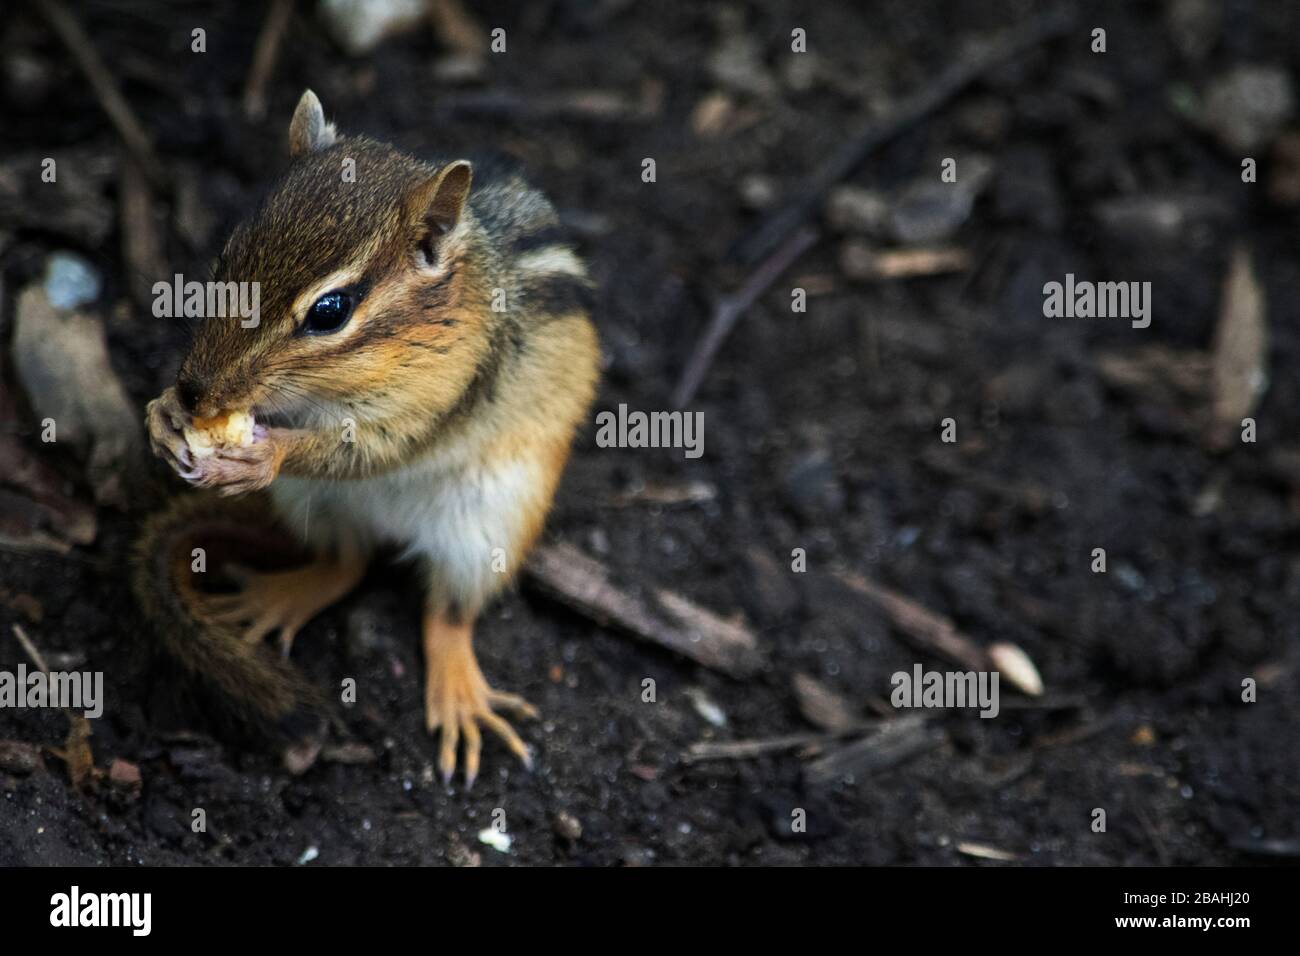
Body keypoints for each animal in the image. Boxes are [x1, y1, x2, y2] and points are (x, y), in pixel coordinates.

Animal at [136, 90, 600, 785]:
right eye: (225, 259)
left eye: (330, 311)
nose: (195, 392)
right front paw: (164, 416)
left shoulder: (450, 395)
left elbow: (371, 448)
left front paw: (266, 452)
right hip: (318, 506)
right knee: (345, 563)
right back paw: (276, 598)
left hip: (487, 522)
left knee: (448, 615)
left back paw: (460, 696)